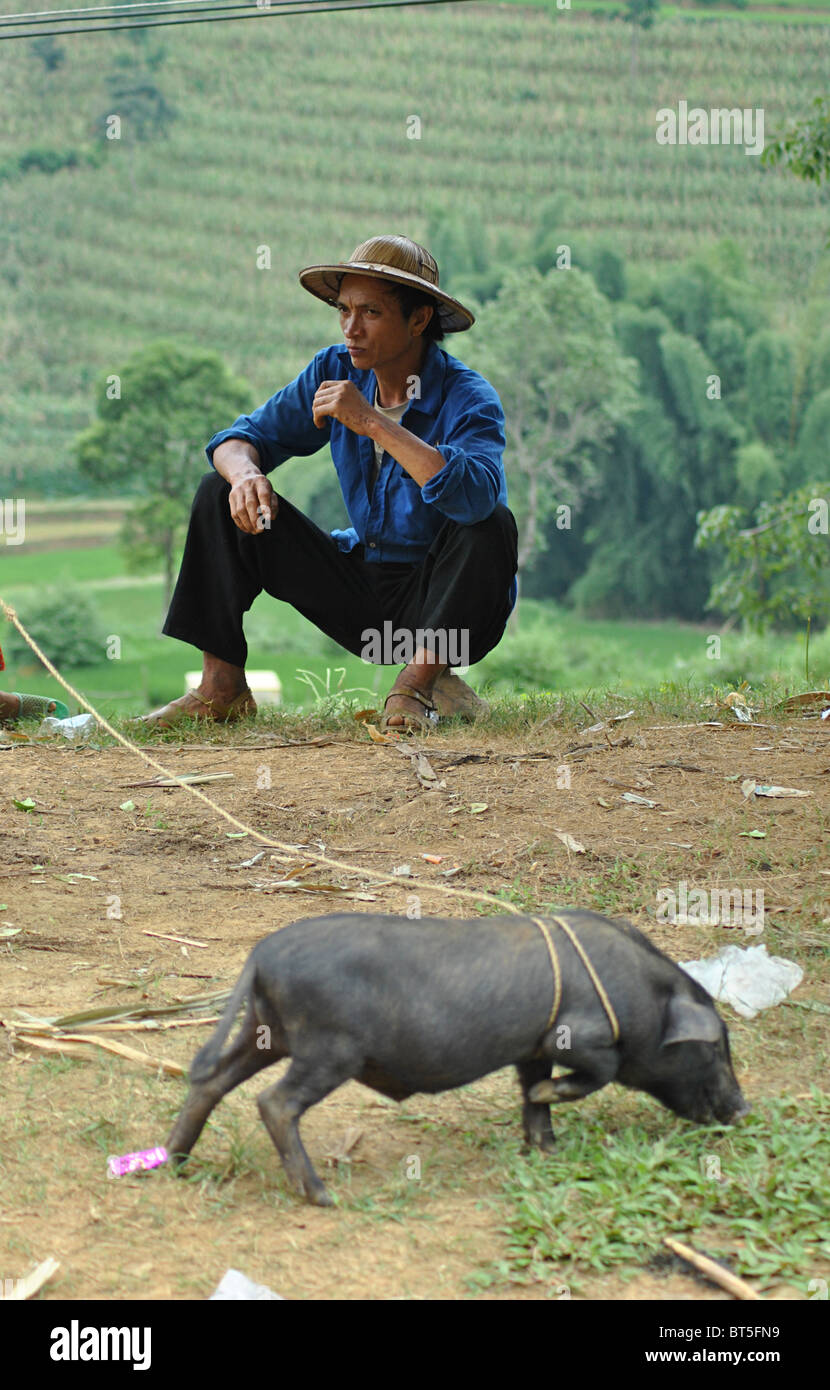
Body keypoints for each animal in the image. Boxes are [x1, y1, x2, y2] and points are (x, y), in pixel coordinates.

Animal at [166, 909, 749, 1205]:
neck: (643, 999)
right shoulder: (576, 1036)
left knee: (210, 1080)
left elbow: (531, 1097)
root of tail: (261, 956)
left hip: (267, 1032)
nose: (743, 1109)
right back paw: (323, 1195)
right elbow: (595, 1073)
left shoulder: (533, 1047)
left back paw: (174, 1162)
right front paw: (550, 1104)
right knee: (274, 1102)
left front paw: (547, 1150)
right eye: (718, 1048)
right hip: (327, 1049)